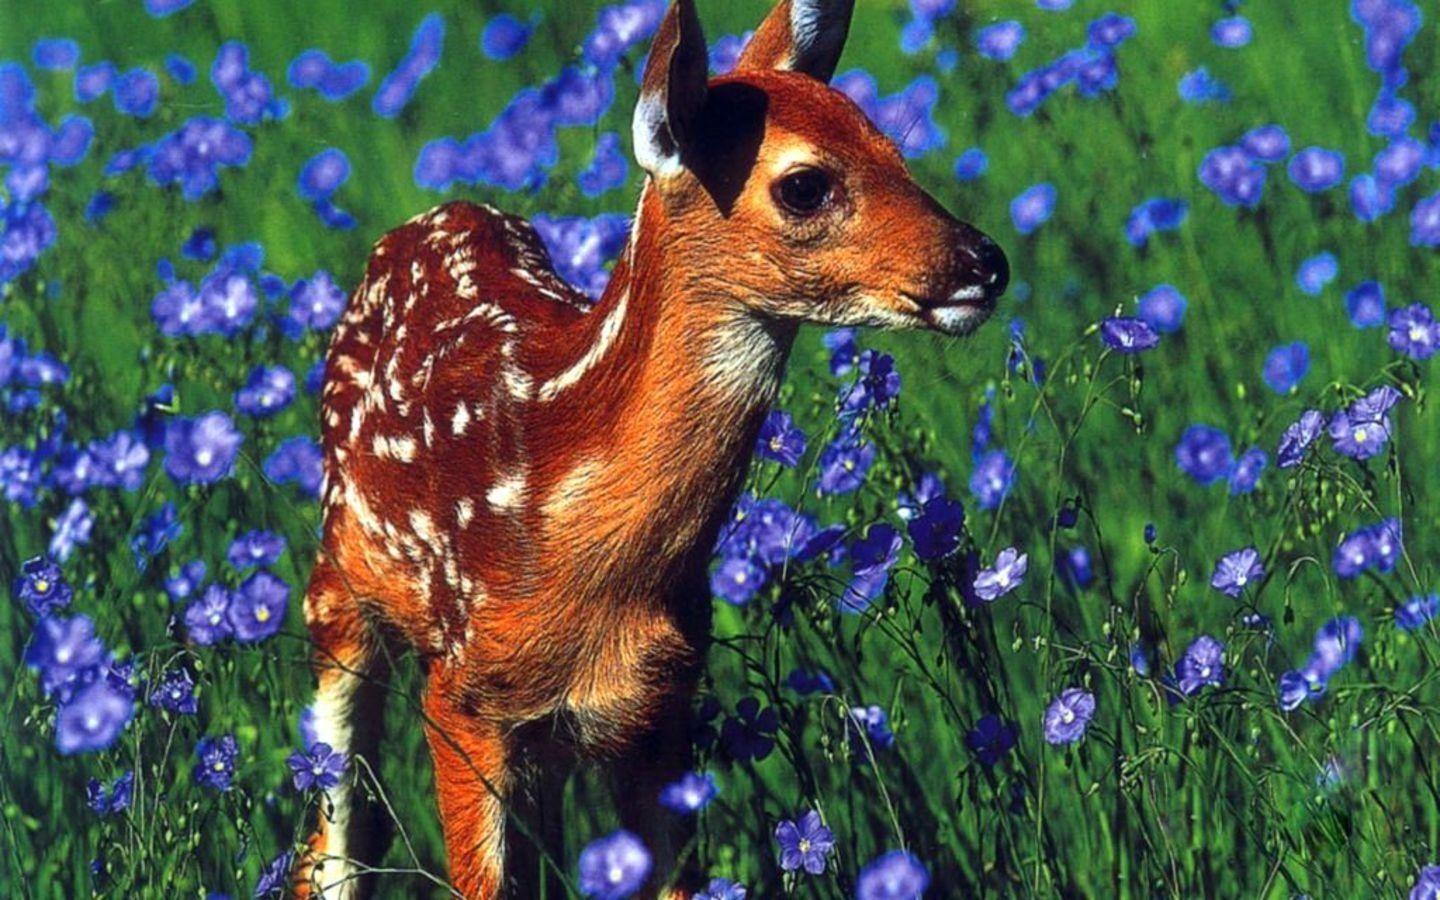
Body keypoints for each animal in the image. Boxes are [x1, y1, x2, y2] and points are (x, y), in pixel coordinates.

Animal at [293, 0, 1007, 897]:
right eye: (805, 185)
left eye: (895, 151)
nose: (987, 261)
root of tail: (428, 219)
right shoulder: (462, 698)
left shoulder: (659, 710)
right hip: (337, 592)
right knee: (330, 840)